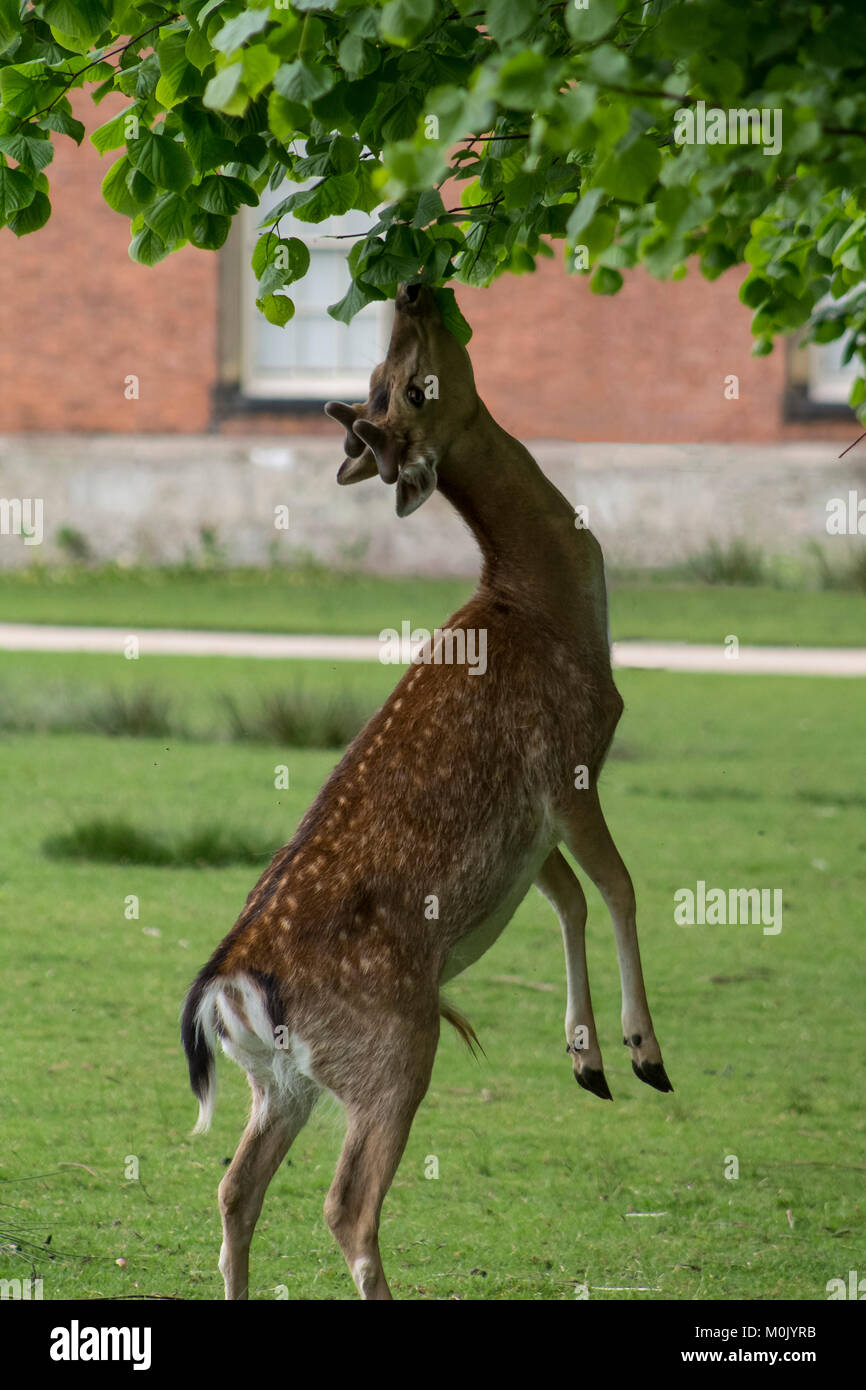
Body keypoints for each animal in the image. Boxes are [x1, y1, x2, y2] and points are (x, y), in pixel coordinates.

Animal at [181, 282, 672, 1302]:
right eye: (409, 385)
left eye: (381, 380)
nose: (411, 287)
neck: (551, 606)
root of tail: (226, 988)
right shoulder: (567, 761)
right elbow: (617, 887)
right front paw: (645, 1054)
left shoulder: (523, 834)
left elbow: (569, 899)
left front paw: (588, 1061)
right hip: (393, 1046)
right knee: (346, 1205)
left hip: (280, 1082)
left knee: (235, 1188)